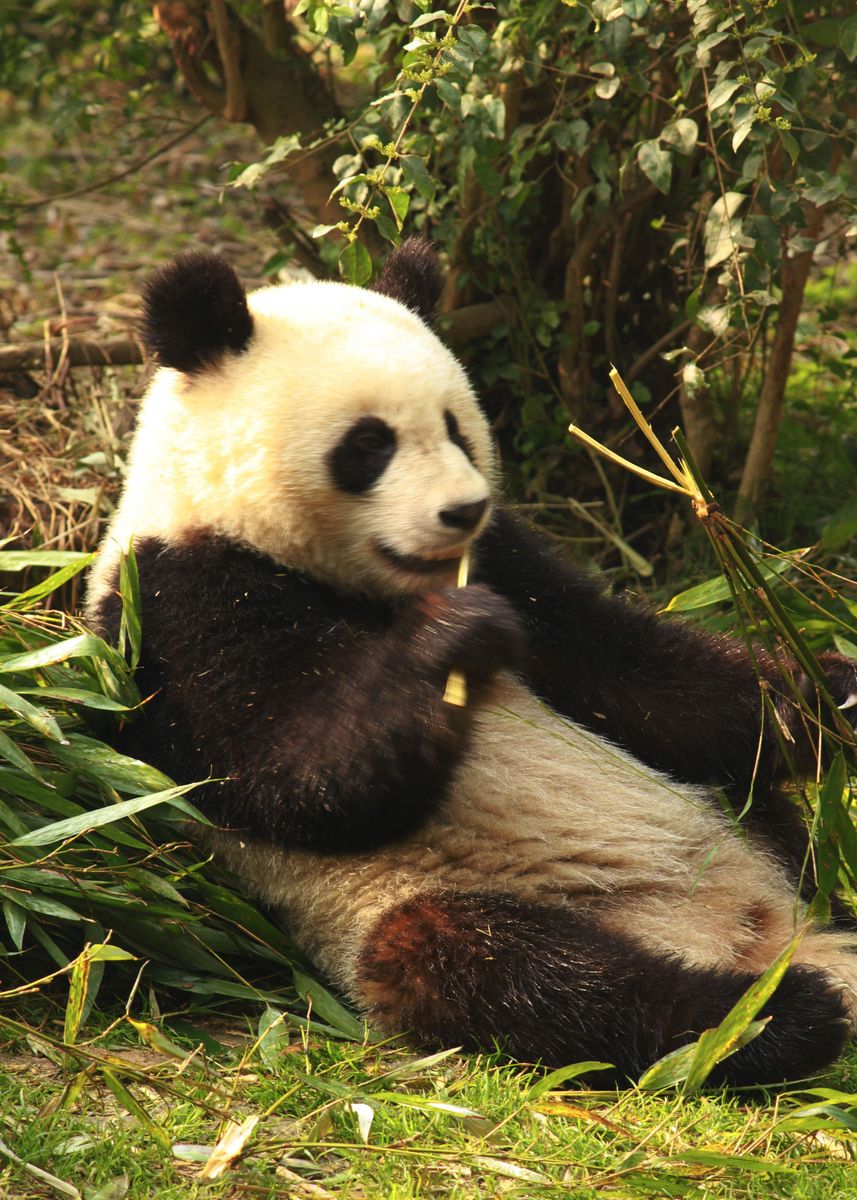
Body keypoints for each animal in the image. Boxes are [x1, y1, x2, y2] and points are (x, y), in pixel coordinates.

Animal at [85, 241, 857, 1087]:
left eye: (456, 427)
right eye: (369, 444)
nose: (462, 510)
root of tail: (746, 934)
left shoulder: (512, 565)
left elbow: (642, 677)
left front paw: (830, 693)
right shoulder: (171, 612)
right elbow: (296, 770)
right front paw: (451, 640)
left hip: (734, 821)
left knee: (760, 811)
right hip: (431, 899)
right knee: (499, 968)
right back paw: (773, 1016)